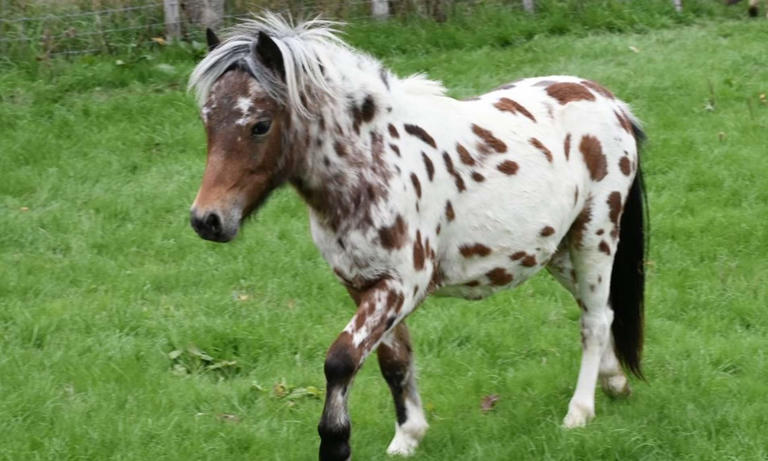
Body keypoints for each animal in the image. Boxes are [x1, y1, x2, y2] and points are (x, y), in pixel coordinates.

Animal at [187, 14, 647, 460]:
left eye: (260, 125)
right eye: (207, 121)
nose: (207, 219)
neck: (373, 163)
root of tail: (611, 102)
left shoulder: (402, 285)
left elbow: (341, 359)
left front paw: (336, 442)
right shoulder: (361, 285)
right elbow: (393, 362)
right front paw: (407, 437)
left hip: (595, 236)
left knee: (592, 321)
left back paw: (579, 411)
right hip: (555, 252)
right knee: (603, 310)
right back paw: (615, 383)